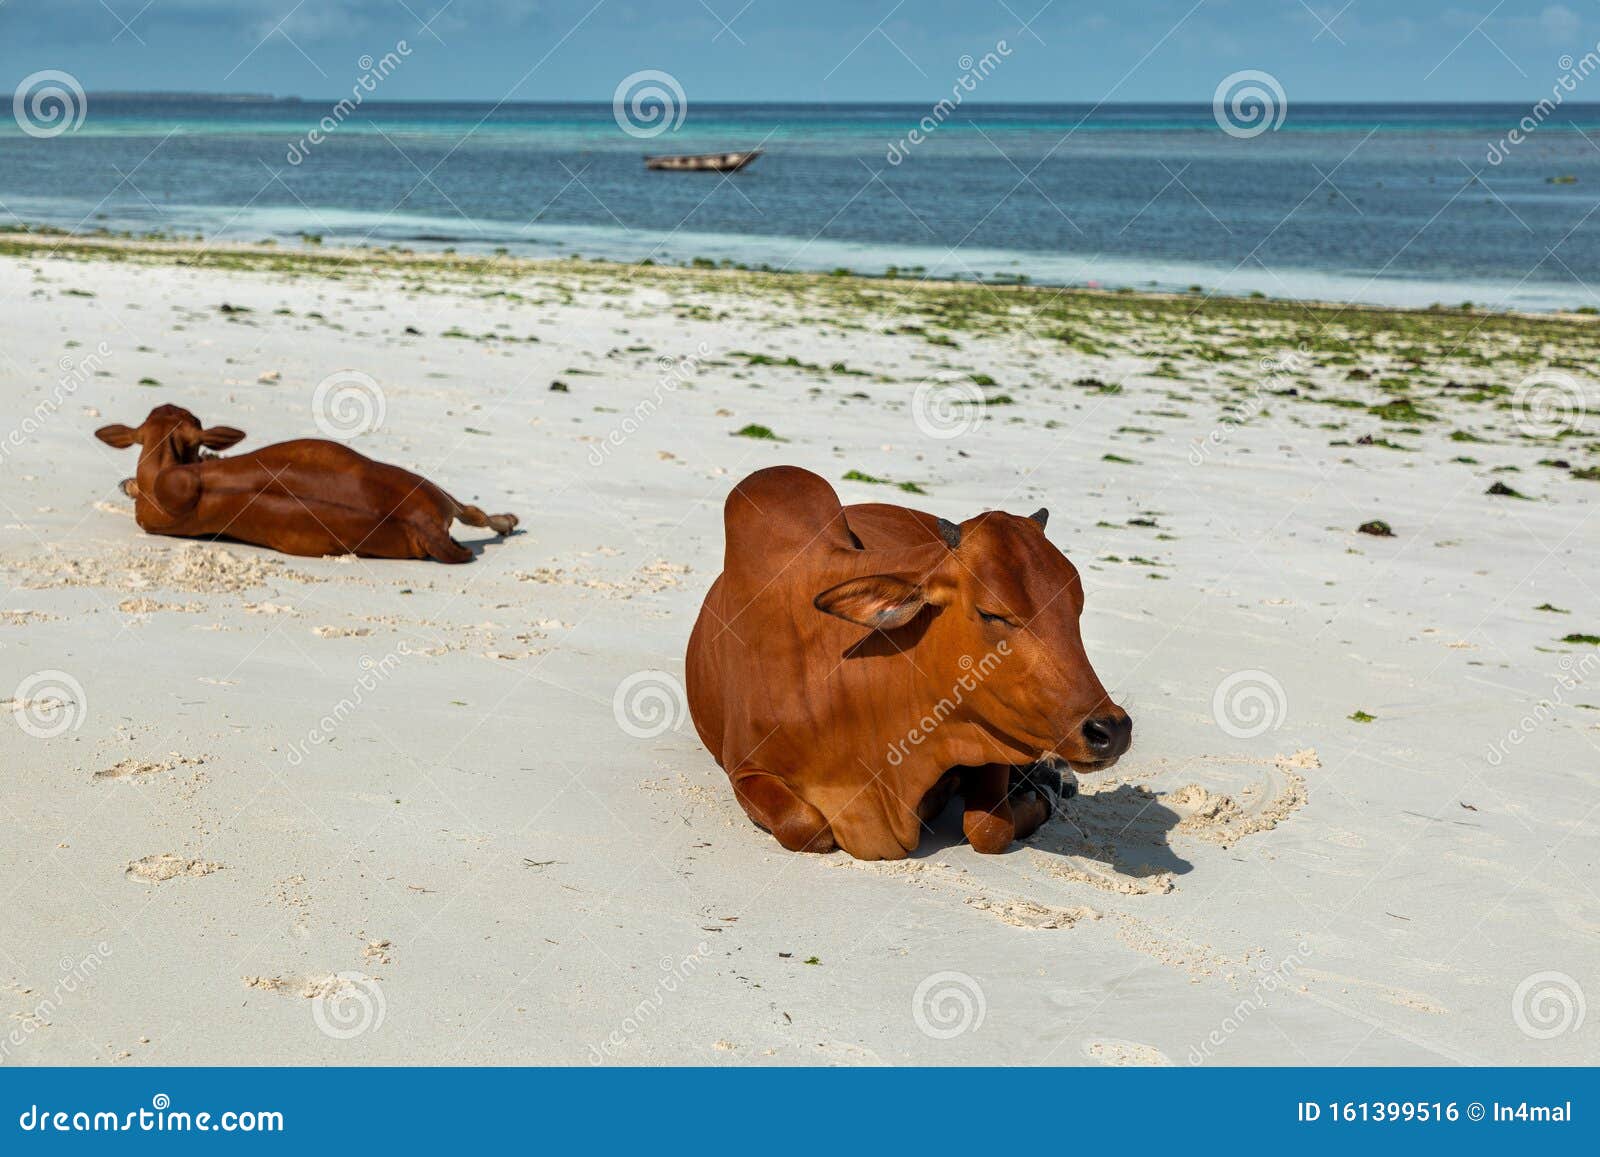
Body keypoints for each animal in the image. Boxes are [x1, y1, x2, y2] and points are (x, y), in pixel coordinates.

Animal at [686, 466, 1131, 861]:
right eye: (991, 613)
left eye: (1076, 606)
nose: (1111, 729)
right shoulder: (745, 769)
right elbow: (805, 827)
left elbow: (989, 828)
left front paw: (1040, 792)